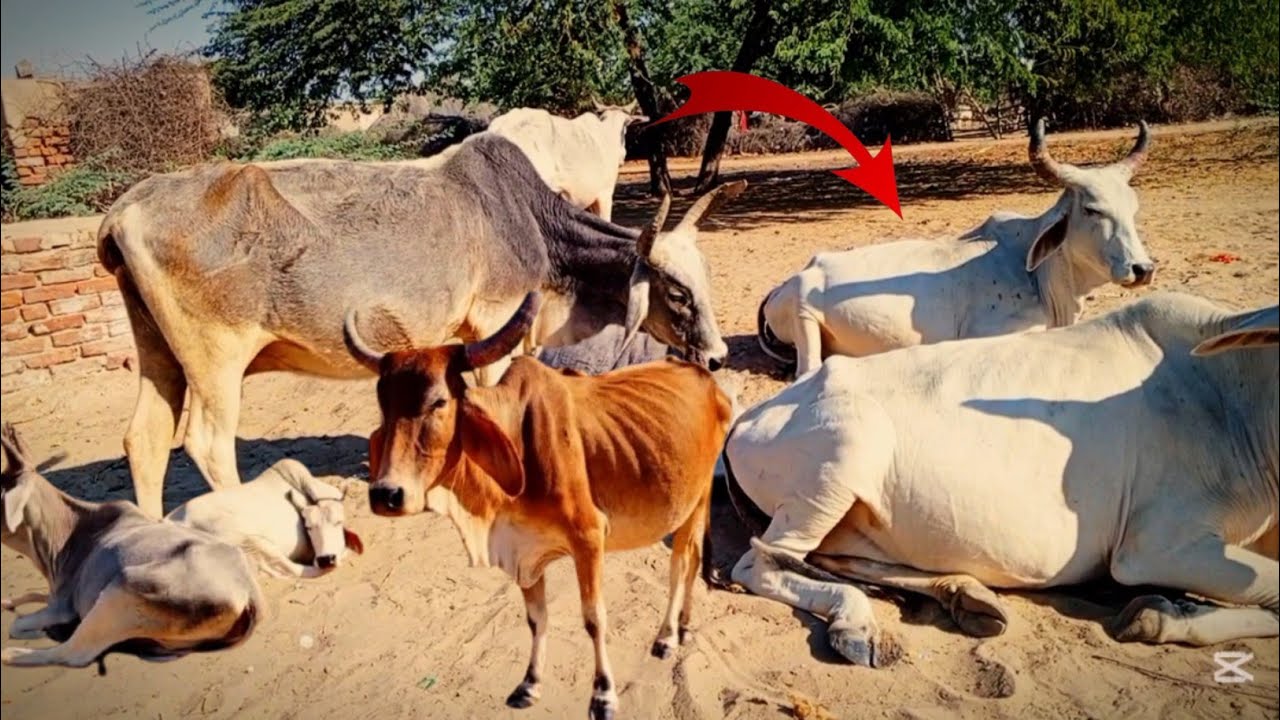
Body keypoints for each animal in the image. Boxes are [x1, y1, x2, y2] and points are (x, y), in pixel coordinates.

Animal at [0, 424, 262, 672]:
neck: (74, 531)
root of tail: (249, 595)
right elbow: (31, 594)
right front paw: (8, 602)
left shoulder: (62, 608)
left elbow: (17, 624)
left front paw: (36, 631)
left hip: (122, 586)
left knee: (74, 654)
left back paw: (11, 653)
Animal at [97, 133, 743, 519]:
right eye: (676, 291)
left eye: (708, 277)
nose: (716, 356)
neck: (530, 225)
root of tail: (125, 208)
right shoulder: (495, 324)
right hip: (217, 361)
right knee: (207, 443)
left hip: (161, 356)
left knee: (145, 440)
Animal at [345, 292, 734, 720]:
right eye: (384, 406)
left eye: (439, 402)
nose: (386, 494)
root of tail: (705, 378)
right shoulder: (522, 549)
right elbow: (536, 619)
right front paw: (529, 684)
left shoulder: (589, 538)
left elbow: (594, 618)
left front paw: (603, 695)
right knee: (693, 562)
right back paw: (683, 626)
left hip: (695, 500)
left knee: (682, 563)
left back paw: (666, 635)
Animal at [722, 292, 1278, 667]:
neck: (1232, 400)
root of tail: (746, 419)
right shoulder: (1155, 549)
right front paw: (1159, 617)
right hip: (844, 456)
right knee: (760, 564)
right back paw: (858, 623)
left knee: (840, 561)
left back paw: (966, 596)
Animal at [757, 120, 1155, 376]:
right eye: (1091, 209)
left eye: (1134, 208)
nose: (1143, 269)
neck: (1038, 277)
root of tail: (787, 283)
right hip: (805, 313)